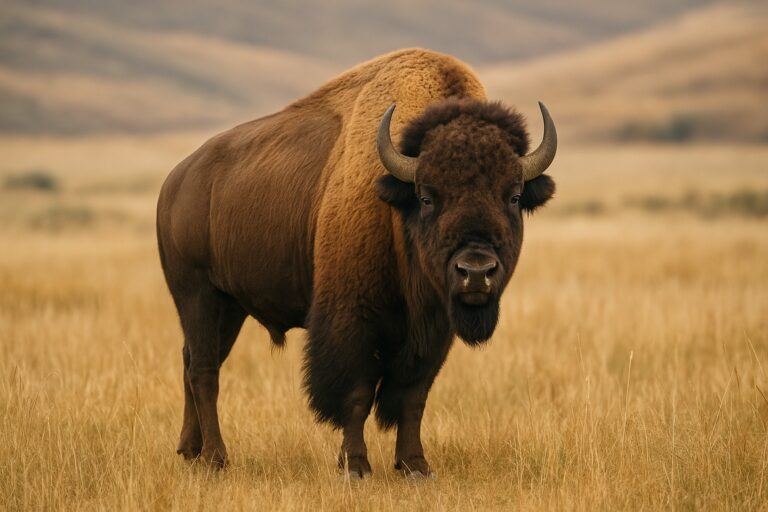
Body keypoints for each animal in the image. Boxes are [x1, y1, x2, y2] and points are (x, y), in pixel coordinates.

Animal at [157, 48, 557, 478]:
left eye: (513, 196)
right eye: (427, 196)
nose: (476, 271)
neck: (398, 209)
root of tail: (175, 181)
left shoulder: (433, 334)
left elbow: (413, 397)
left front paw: (415, 466)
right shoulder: (353, 320)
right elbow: (357, 395)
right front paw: (355, 465)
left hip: (229, 308)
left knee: (192, 361)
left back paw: (190, 451)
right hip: (197, 295)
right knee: (204, 371)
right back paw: (216, 458)